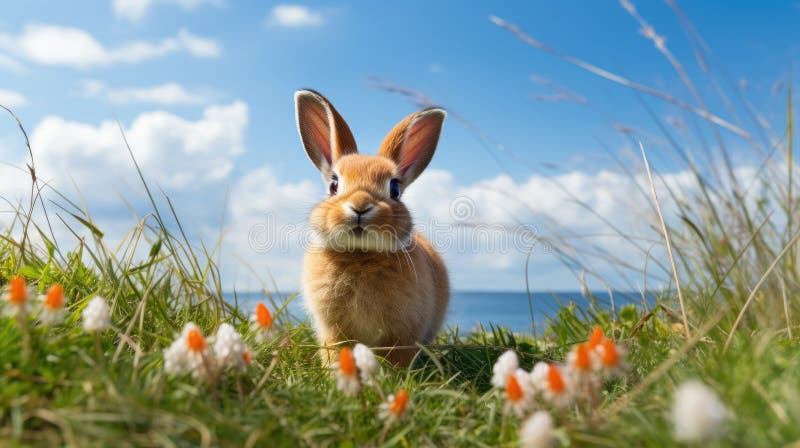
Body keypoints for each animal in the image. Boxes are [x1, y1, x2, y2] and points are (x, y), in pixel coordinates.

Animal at [294, 89, 450, 366]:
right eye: (334, 185)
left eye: (395, 189)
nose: (360, 206)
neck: (360, 254)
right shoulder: (334, 329)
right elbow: (336, 348)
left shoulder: (403, 331)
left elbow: (398, 355)